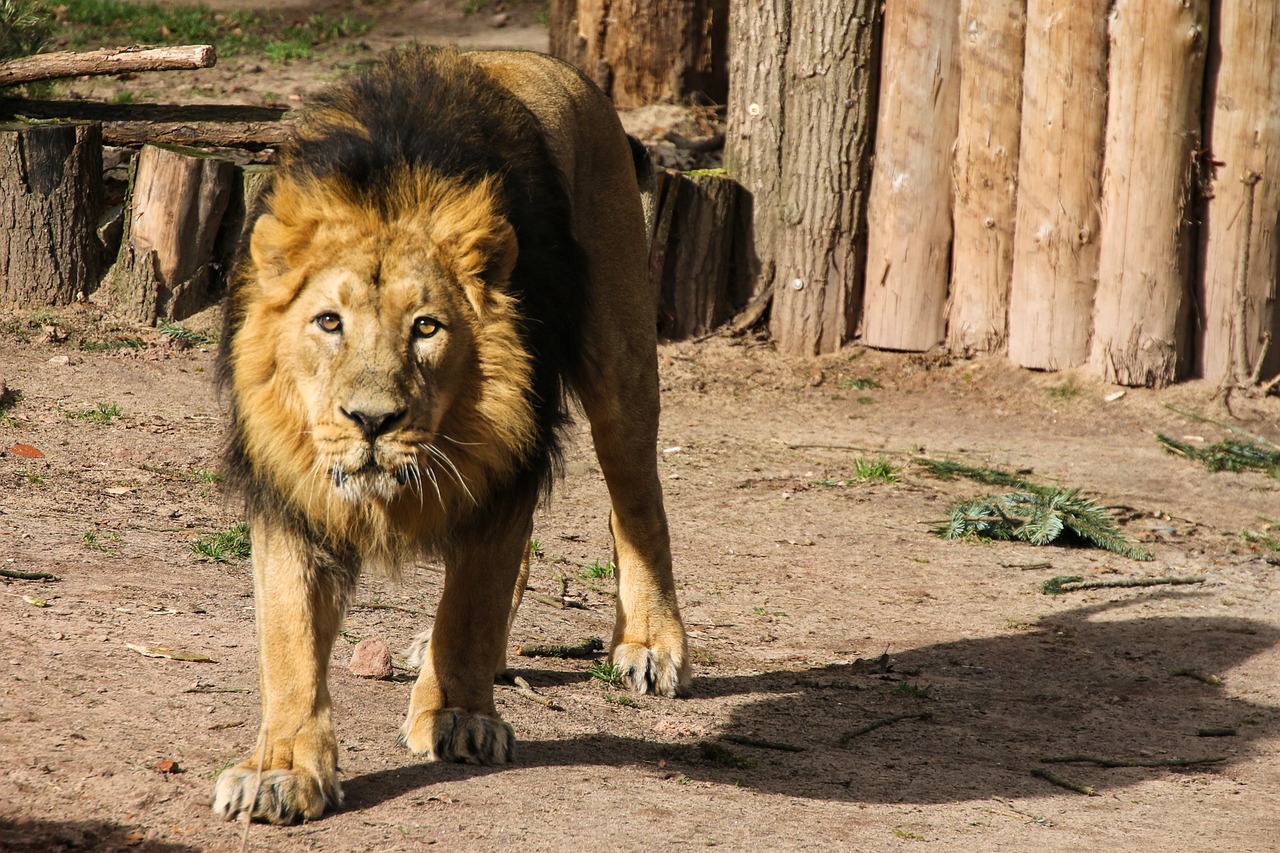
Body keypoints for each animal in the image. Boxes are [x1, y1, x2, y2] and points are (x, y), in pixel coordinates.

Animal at [210, 47, 689, 824]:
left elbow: (470, 601)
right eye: (328, 321)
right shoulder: (293, 484)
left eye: (426, 327)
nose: (372, 421)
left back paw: (651, 644)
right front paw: (280, 770)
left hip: (620, 360)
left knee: (637, 502)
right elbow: (288, 637)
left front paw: (460, 716)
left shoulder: (511, 454)